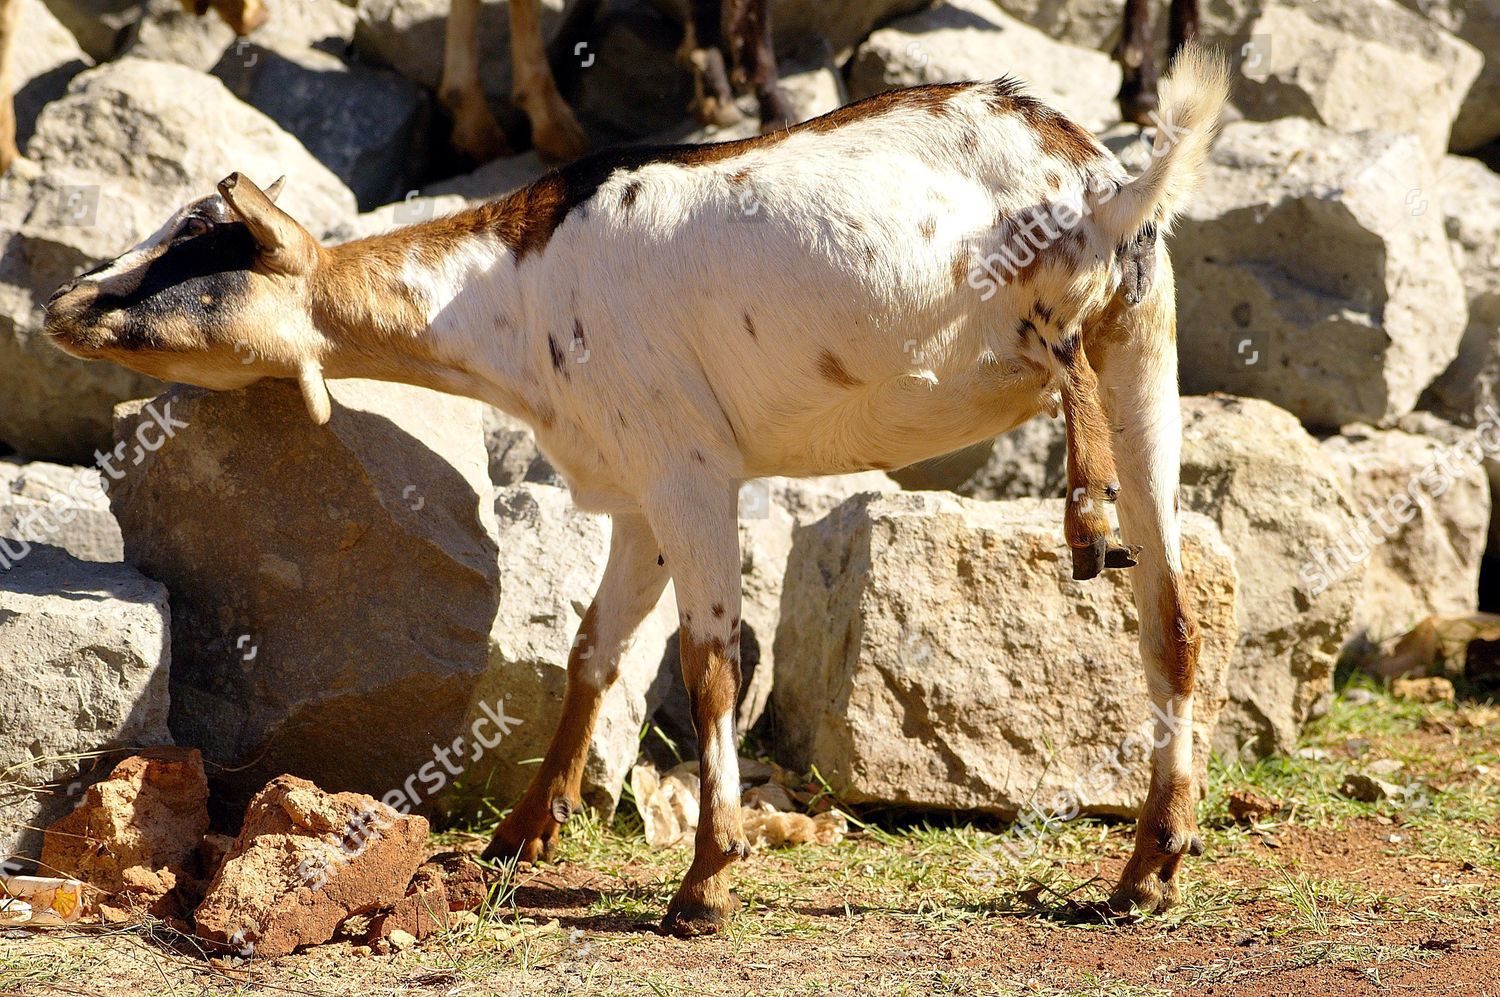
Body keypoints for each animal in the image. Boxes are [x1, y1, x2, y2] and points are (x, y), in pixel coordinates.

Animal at [45, 47, 1229, 934]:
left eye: (201, 252)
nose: (62, 303)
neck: (514, 286)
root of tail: (1100, 183)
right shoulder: (632, 500)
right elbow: (593, 652)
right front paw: (523, 831)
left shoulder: (687, 468)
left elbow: (711, 668)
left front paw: (705, 881)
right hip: (1148, 345)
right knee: (1171, 616)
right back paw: (1148, 869)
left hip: (1016, 319)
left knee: (1058, 369)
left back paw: (1084, 510)